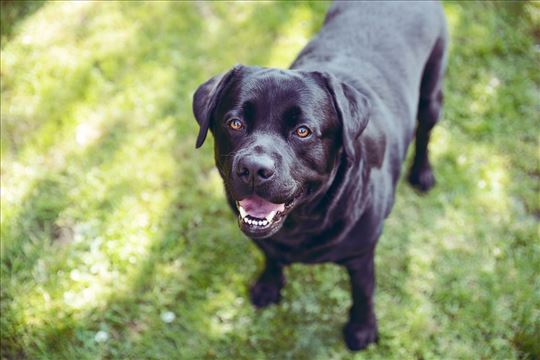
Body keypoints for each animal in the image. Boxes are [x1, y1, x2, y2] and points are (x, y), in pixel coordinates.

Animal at [193, 1, 448, 350]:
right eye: (235, 123)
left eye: (303, 131)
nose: (255, 169)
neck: (303, 222)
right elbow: (271, 255)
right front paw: (268, 285)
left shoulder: (362, 252)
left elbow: (364, 291)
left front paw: (362, 329)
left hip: (432, 92)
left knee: (425, 131)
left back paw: (422, 173)